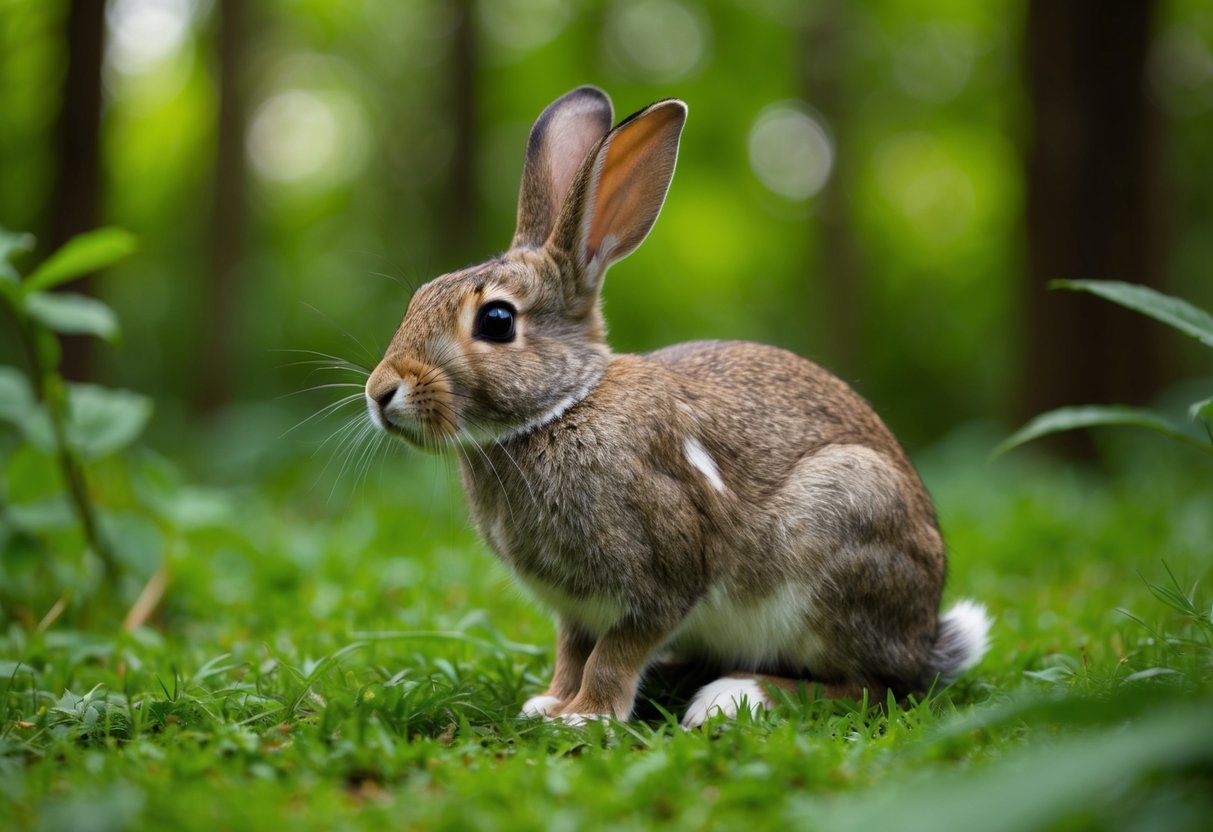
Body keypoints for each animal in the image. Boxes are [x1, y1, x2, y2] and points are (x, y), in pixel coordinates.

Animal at [364, 86, 990, 727]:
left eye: (496, 321)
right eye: (420, 296)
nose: (380, 391)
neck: (563, 408)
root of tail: (924, 637)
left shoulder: (662, 576)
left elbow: (616, 652)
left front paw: (588, 715)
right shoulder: (576, 610)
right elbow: (573, 651)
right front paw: (550, 703)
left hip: (843, 535)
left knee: (870, 686)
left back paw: (735, 696)